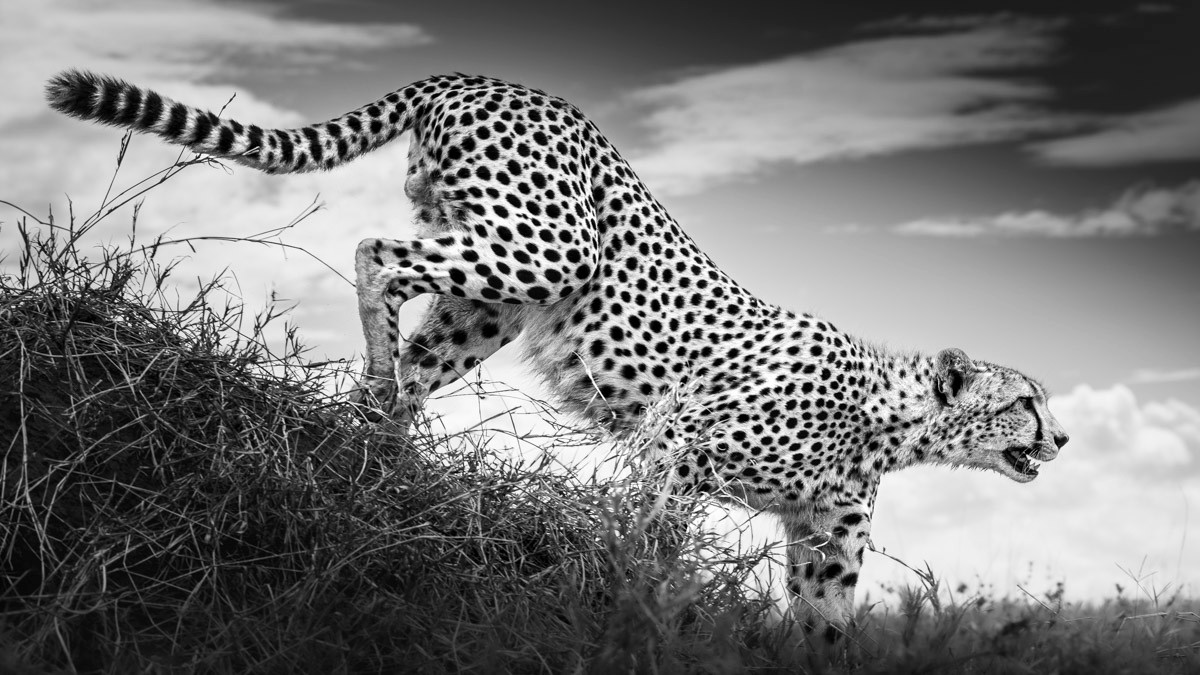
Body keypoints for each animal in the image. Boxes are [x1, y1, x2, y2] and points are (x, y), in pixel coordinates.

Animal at [46, 69, 1069, 640]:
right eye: (1026, 401)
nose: (1062, 442)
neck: (892, 418)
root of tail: (483, 77)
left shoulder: (825, 545)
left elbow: (826, 633)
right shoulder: (674, 447)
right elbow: (653, 543)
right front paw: (639, 605)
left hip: (491, 304)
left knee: (412, 344)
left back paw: (378, 448)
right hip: (545, 249)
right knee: (376, 252)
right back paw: (372, 388)